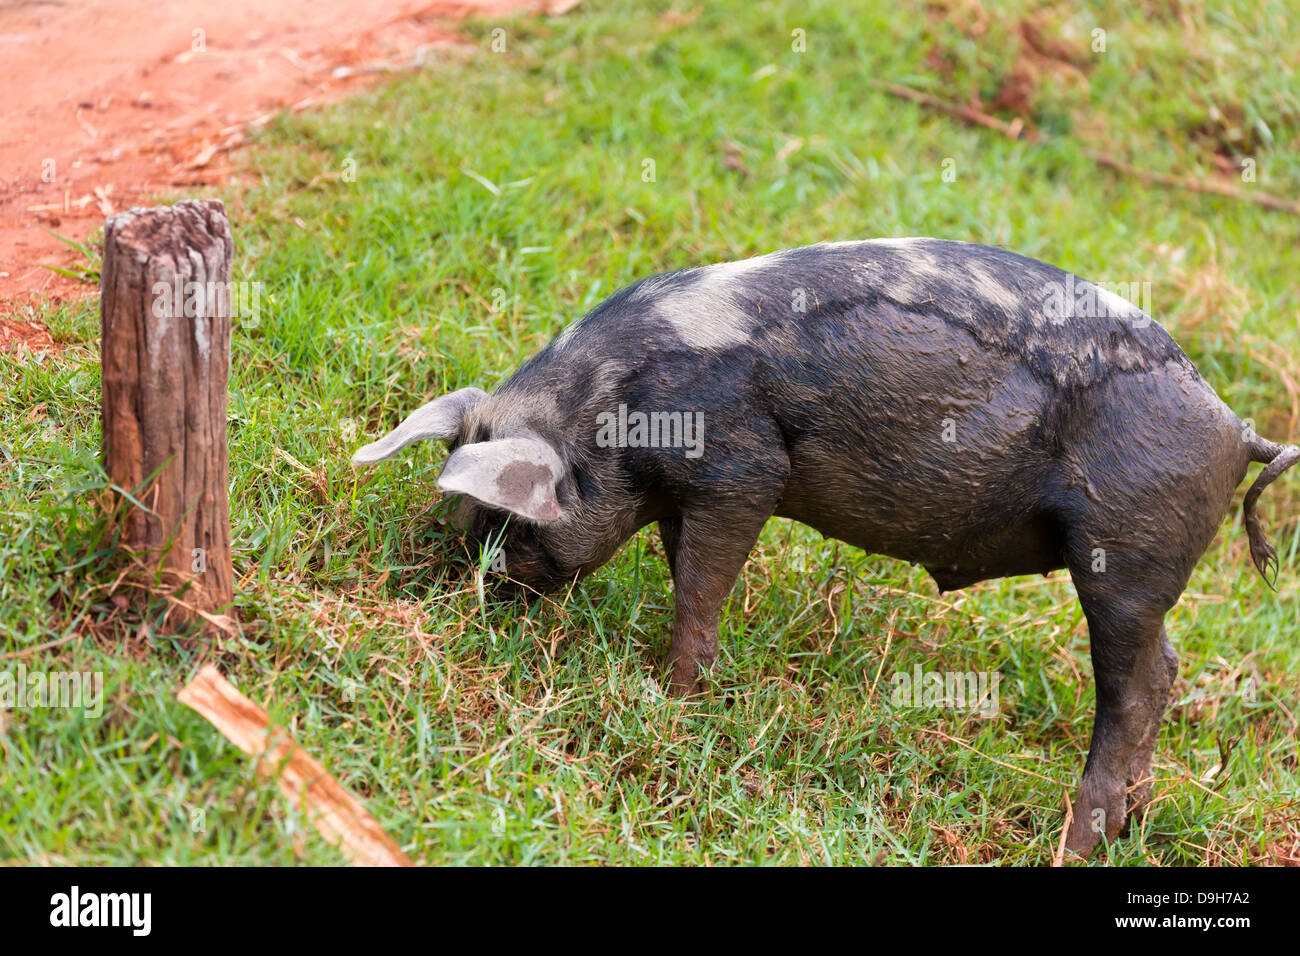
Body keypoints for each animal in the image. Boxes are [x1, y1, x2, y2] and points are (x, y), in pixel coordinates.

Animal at [351, 238, 1298, 857]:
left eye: (508, 524)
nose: (479, 599)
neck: (609, 411)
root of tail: (1235, 428)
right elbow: (682, 561)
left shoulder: (744, 465)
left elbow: (703, 581)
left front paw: (676, 697)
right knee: (1166, 668)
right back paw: (1133, 821)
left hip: (1126, 545)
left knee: (1131, 690)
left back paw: (1071, 846)